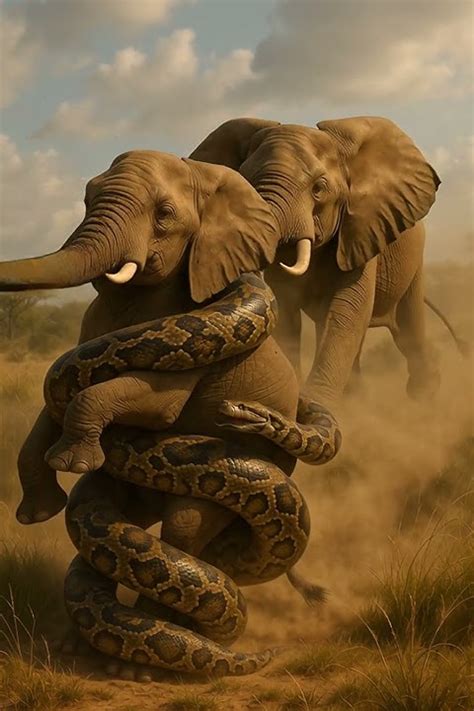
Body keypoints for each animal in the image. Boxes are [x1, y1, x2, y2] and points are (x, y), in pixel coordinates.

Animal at [189, 116, 458, 407]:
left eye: (318, 189)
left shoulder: (361, 229)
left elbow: (348, 310)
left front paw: (318, 405)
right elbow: (287, 315)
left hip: (414, 261)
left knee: (408, 329)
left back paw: (422, 398)